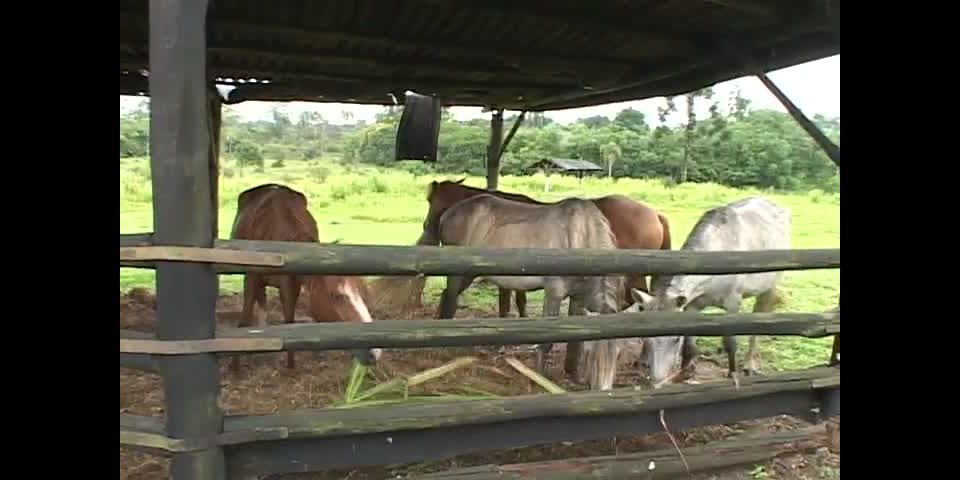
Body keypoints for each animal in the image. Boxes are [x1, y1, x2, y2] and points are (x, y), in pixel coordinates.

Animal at [231, 184, 380, 372]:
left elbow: (289, 321)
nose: (375, 352)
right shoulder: (251, 279)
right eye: (337, 296)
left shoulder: (291, 284)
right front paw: (235, 366)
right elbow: (244, 319)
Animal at [632, 197, 788, 388]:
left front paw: (732, 373)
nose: (657, 382)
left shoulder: (733, 303)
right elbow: (689, 346)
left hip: (769, 288)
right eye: (647, 338)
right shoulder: (692, 305)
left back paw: (749, 366)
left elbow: (730, 342)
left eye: (675, 339)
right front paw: (685, 374)